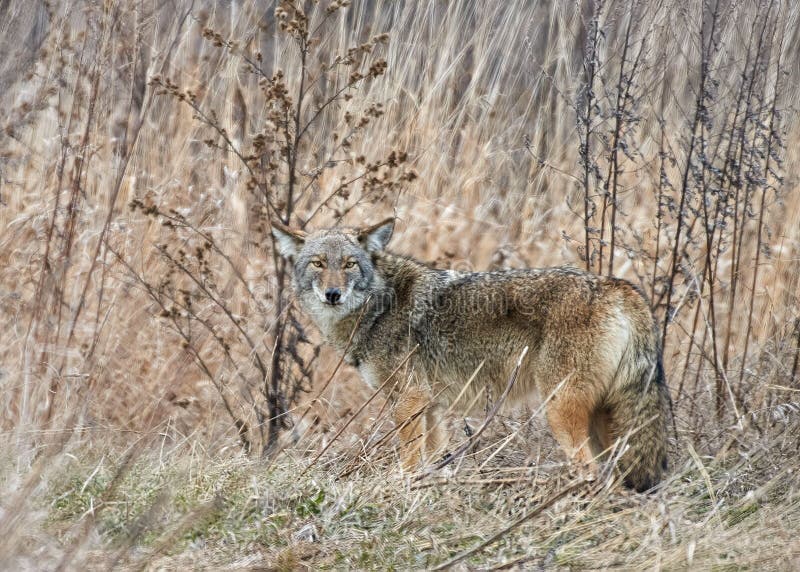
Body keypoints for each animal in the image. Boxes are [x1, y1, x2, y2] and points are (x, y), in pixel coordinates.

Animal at [272, 217, 669, 491]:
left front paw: (403, 488)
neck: (378, 306)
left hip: (559, 410)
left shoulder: (409, 399)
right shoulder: (431, 406)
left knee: (590, 471)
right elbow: (430, 457)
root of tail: (617, 285)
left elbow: (408, 459)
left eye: (349, 264)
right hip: (605, 419)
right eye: (318, 263)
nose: (333, 295)